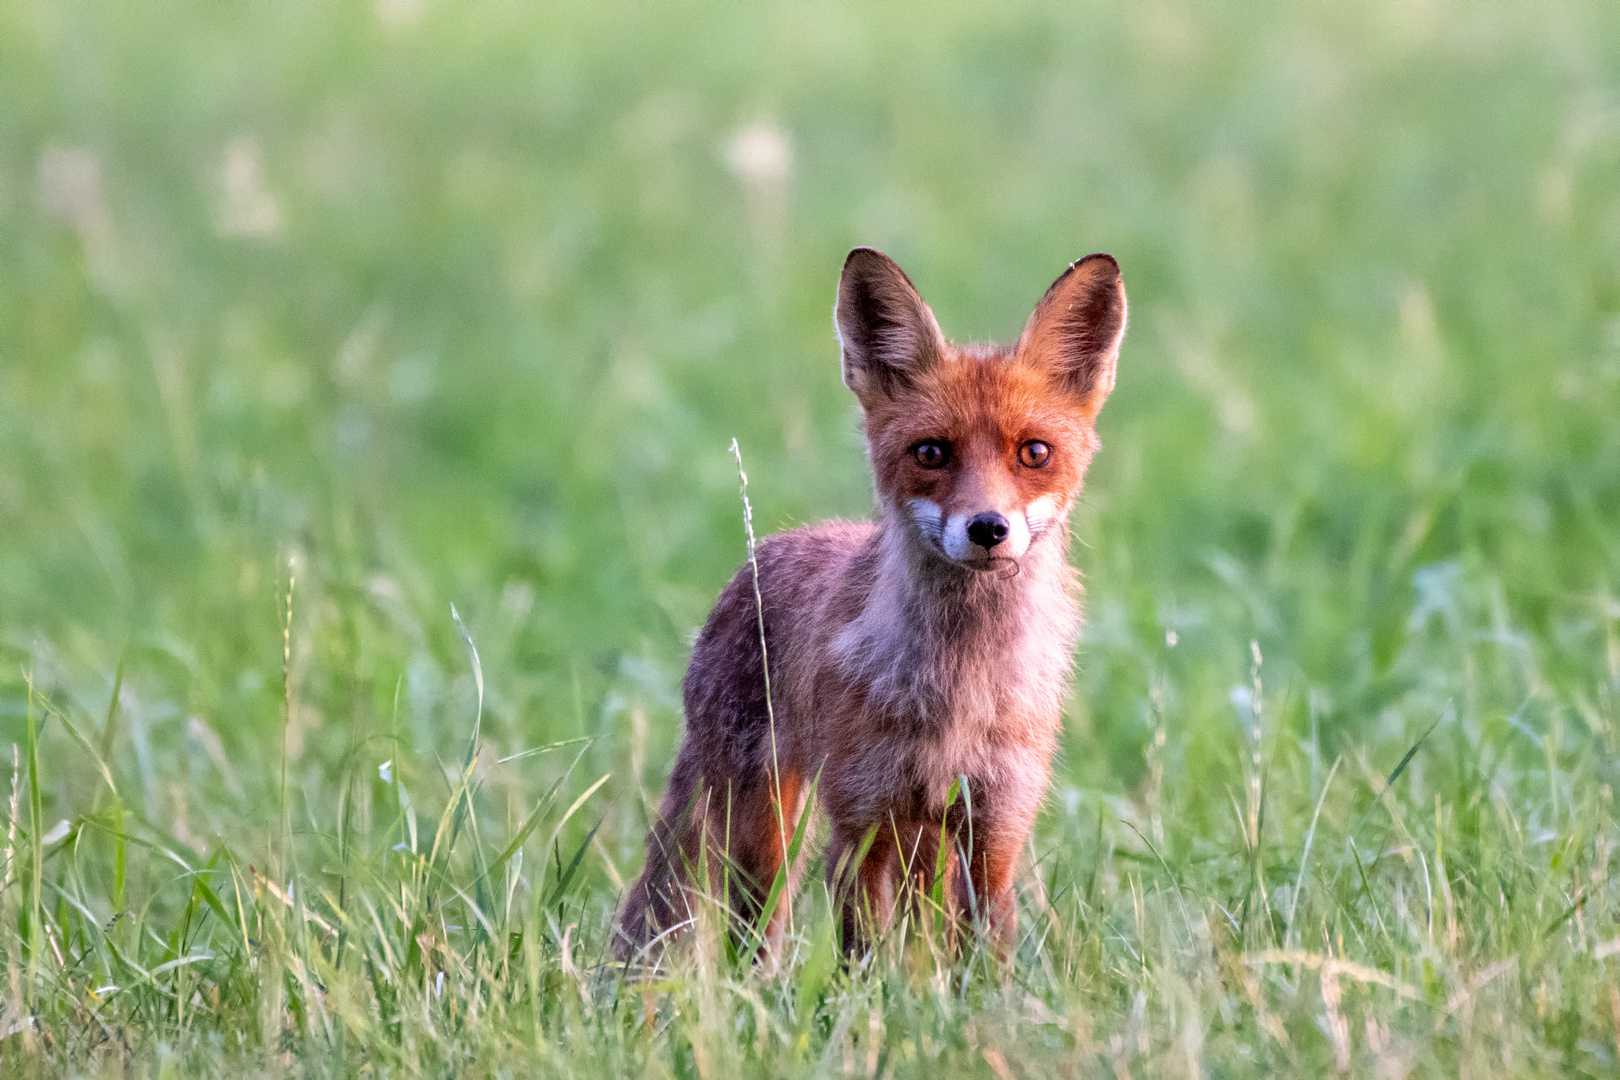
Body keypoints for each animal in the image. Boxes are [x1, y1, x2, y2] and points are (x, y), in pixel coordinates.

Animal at [609, 249, 1127, 958]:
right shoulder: (862, 824)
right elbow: (864, 959)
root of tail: (764, 551)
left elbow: (985, 960)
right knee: (752, 935)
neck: (957, 688)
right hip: (764, 832)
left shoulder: (997, 825)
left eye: (1034, 453)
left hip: (918, 838)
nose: (988, 527)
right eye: (931, 452)